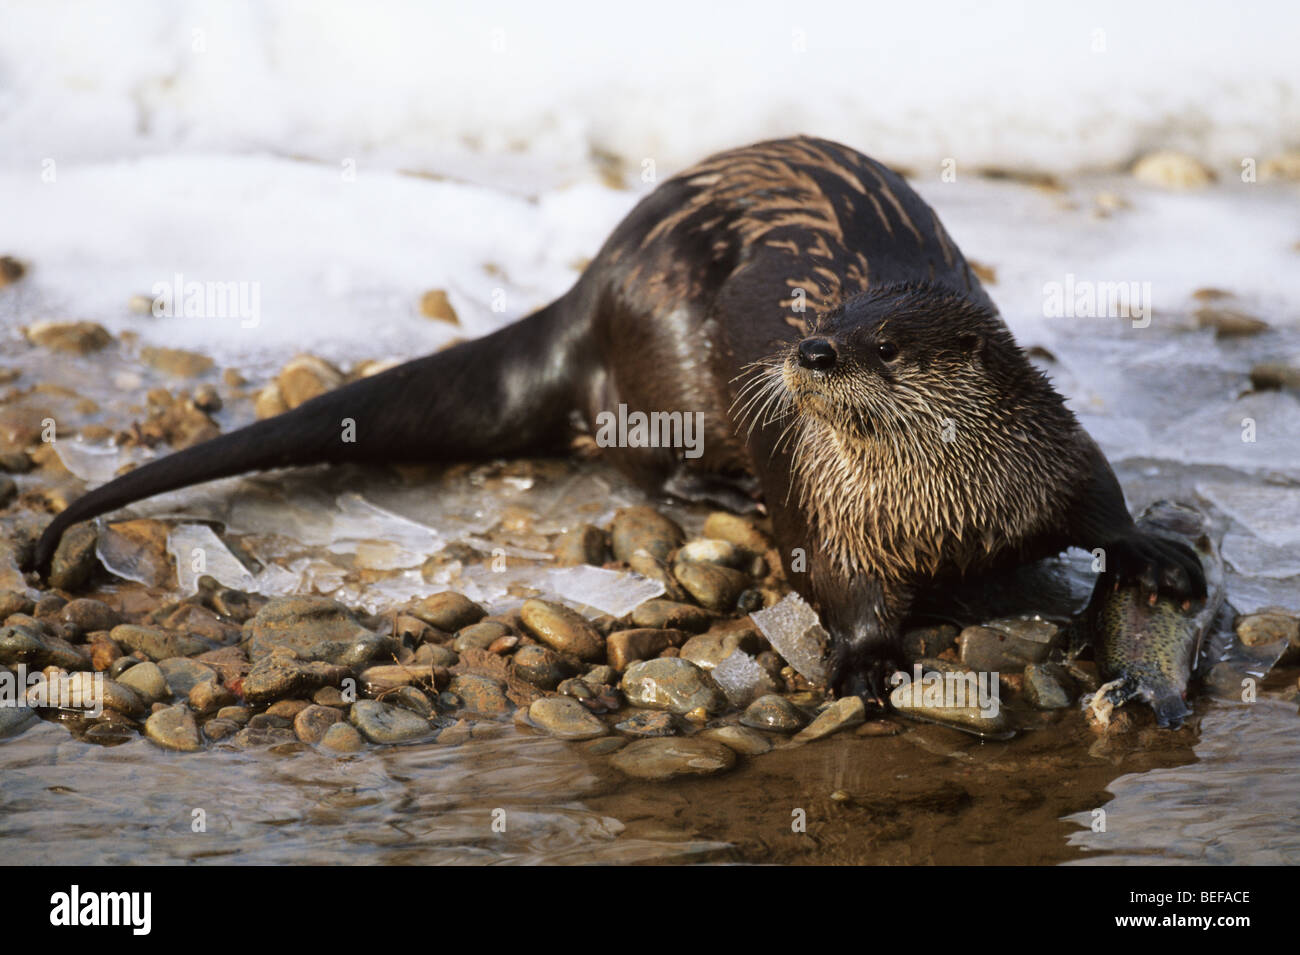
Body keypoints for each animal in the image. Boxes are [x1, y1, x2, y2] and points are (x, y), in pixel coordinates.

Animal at [32, 136, 1204, 700]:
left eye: (883, 344)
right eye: (821, 317)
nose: (808, 352)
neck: (945, 512)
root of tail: (595, 285)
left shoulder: (1051, 453)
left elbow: (1102, 497)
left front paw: (1158, 554)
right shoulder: (827, 510)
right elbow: (840, 585)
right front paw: (868, 661)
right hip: (662, 364)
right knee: (632, 454)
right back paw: (709, 484)